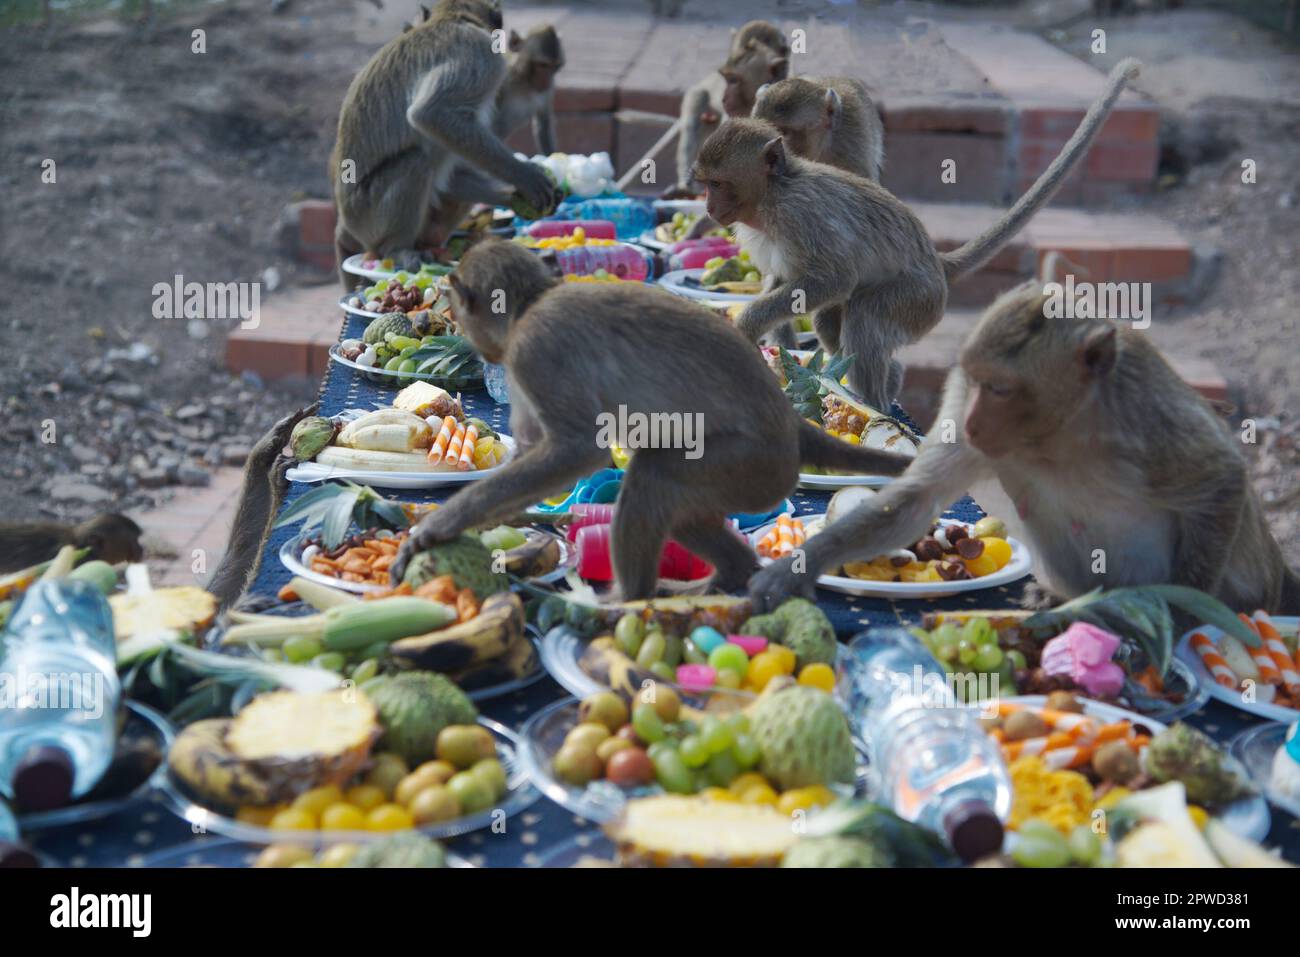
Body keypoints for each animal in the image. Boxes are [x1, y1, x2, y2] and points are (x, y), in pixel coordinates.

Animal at [387, 239, 913, 599]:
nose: (473, 341)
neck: (535, 302)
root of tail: (791, 425)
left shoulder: (536, 348)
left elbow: (575, 452)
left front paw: (439, 526)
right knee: (676, 502)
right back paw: (730, 574)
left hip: (752, 466)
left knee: (654, 475)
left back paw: (629, 598)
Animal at [493, 25, 564, 155]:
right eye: (543, 65)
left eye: (554, 66)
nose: (547, 81)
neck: (523, 82)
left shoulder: (547, 91)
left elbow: (544, 123)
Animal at [692, 59, 1141, 413]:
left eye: (718, 184)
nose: (710, 207)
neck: (772, 193)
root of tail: (936, 264)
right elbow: (790, 281)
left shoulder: (799, 215)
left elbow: (832, 279)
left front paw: (747, 323)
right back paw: (882, 381)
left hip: (919, 301)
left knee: (865, 316)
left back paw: (874, 404)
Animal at [747, 267, 1300, 616]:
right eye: (975, 382)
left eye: (1000, 388)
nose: (971, 423)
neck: (1059, 428)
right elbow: (915, 500)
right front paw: (797, 567)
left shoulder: (1146, 411)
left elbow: (1222, 479)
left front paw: (1182, 615)